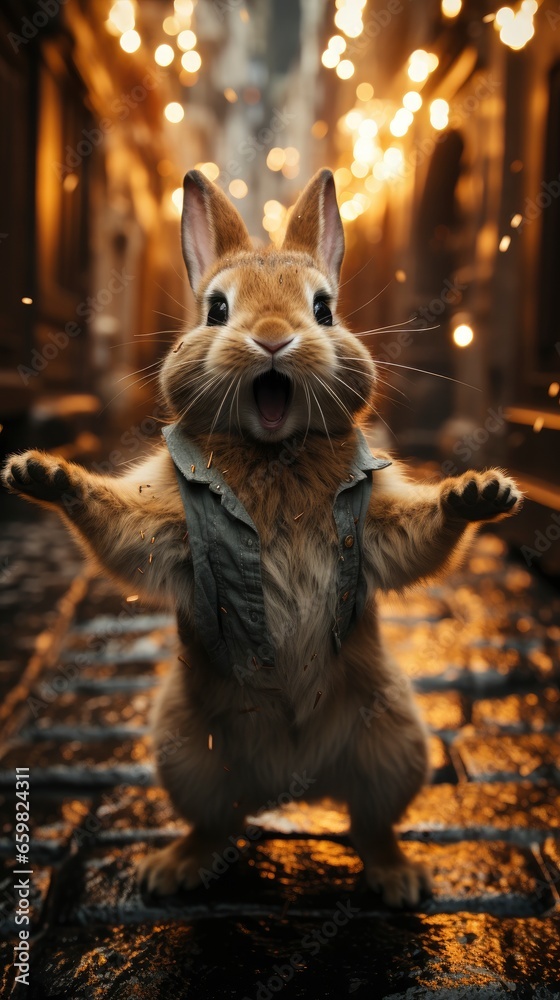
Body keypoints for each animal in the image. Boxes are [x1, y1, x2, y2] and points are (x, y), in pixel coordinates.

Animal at [2, 168, 522, 908]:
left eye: (325, 310)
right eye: (217, 310)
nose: (273, 339)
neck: (274, 455)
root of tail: (290, 786)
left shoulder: (373, 519)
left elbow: (420, 532)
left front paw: (480, 494)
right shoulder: (167, 515)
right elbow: (115, 523)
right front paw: (40, 474)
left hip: (394, 745)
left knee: (370, 826)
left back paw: (399, 880)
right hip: (186, 754)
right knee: (217, 824)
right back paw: (169, 871)